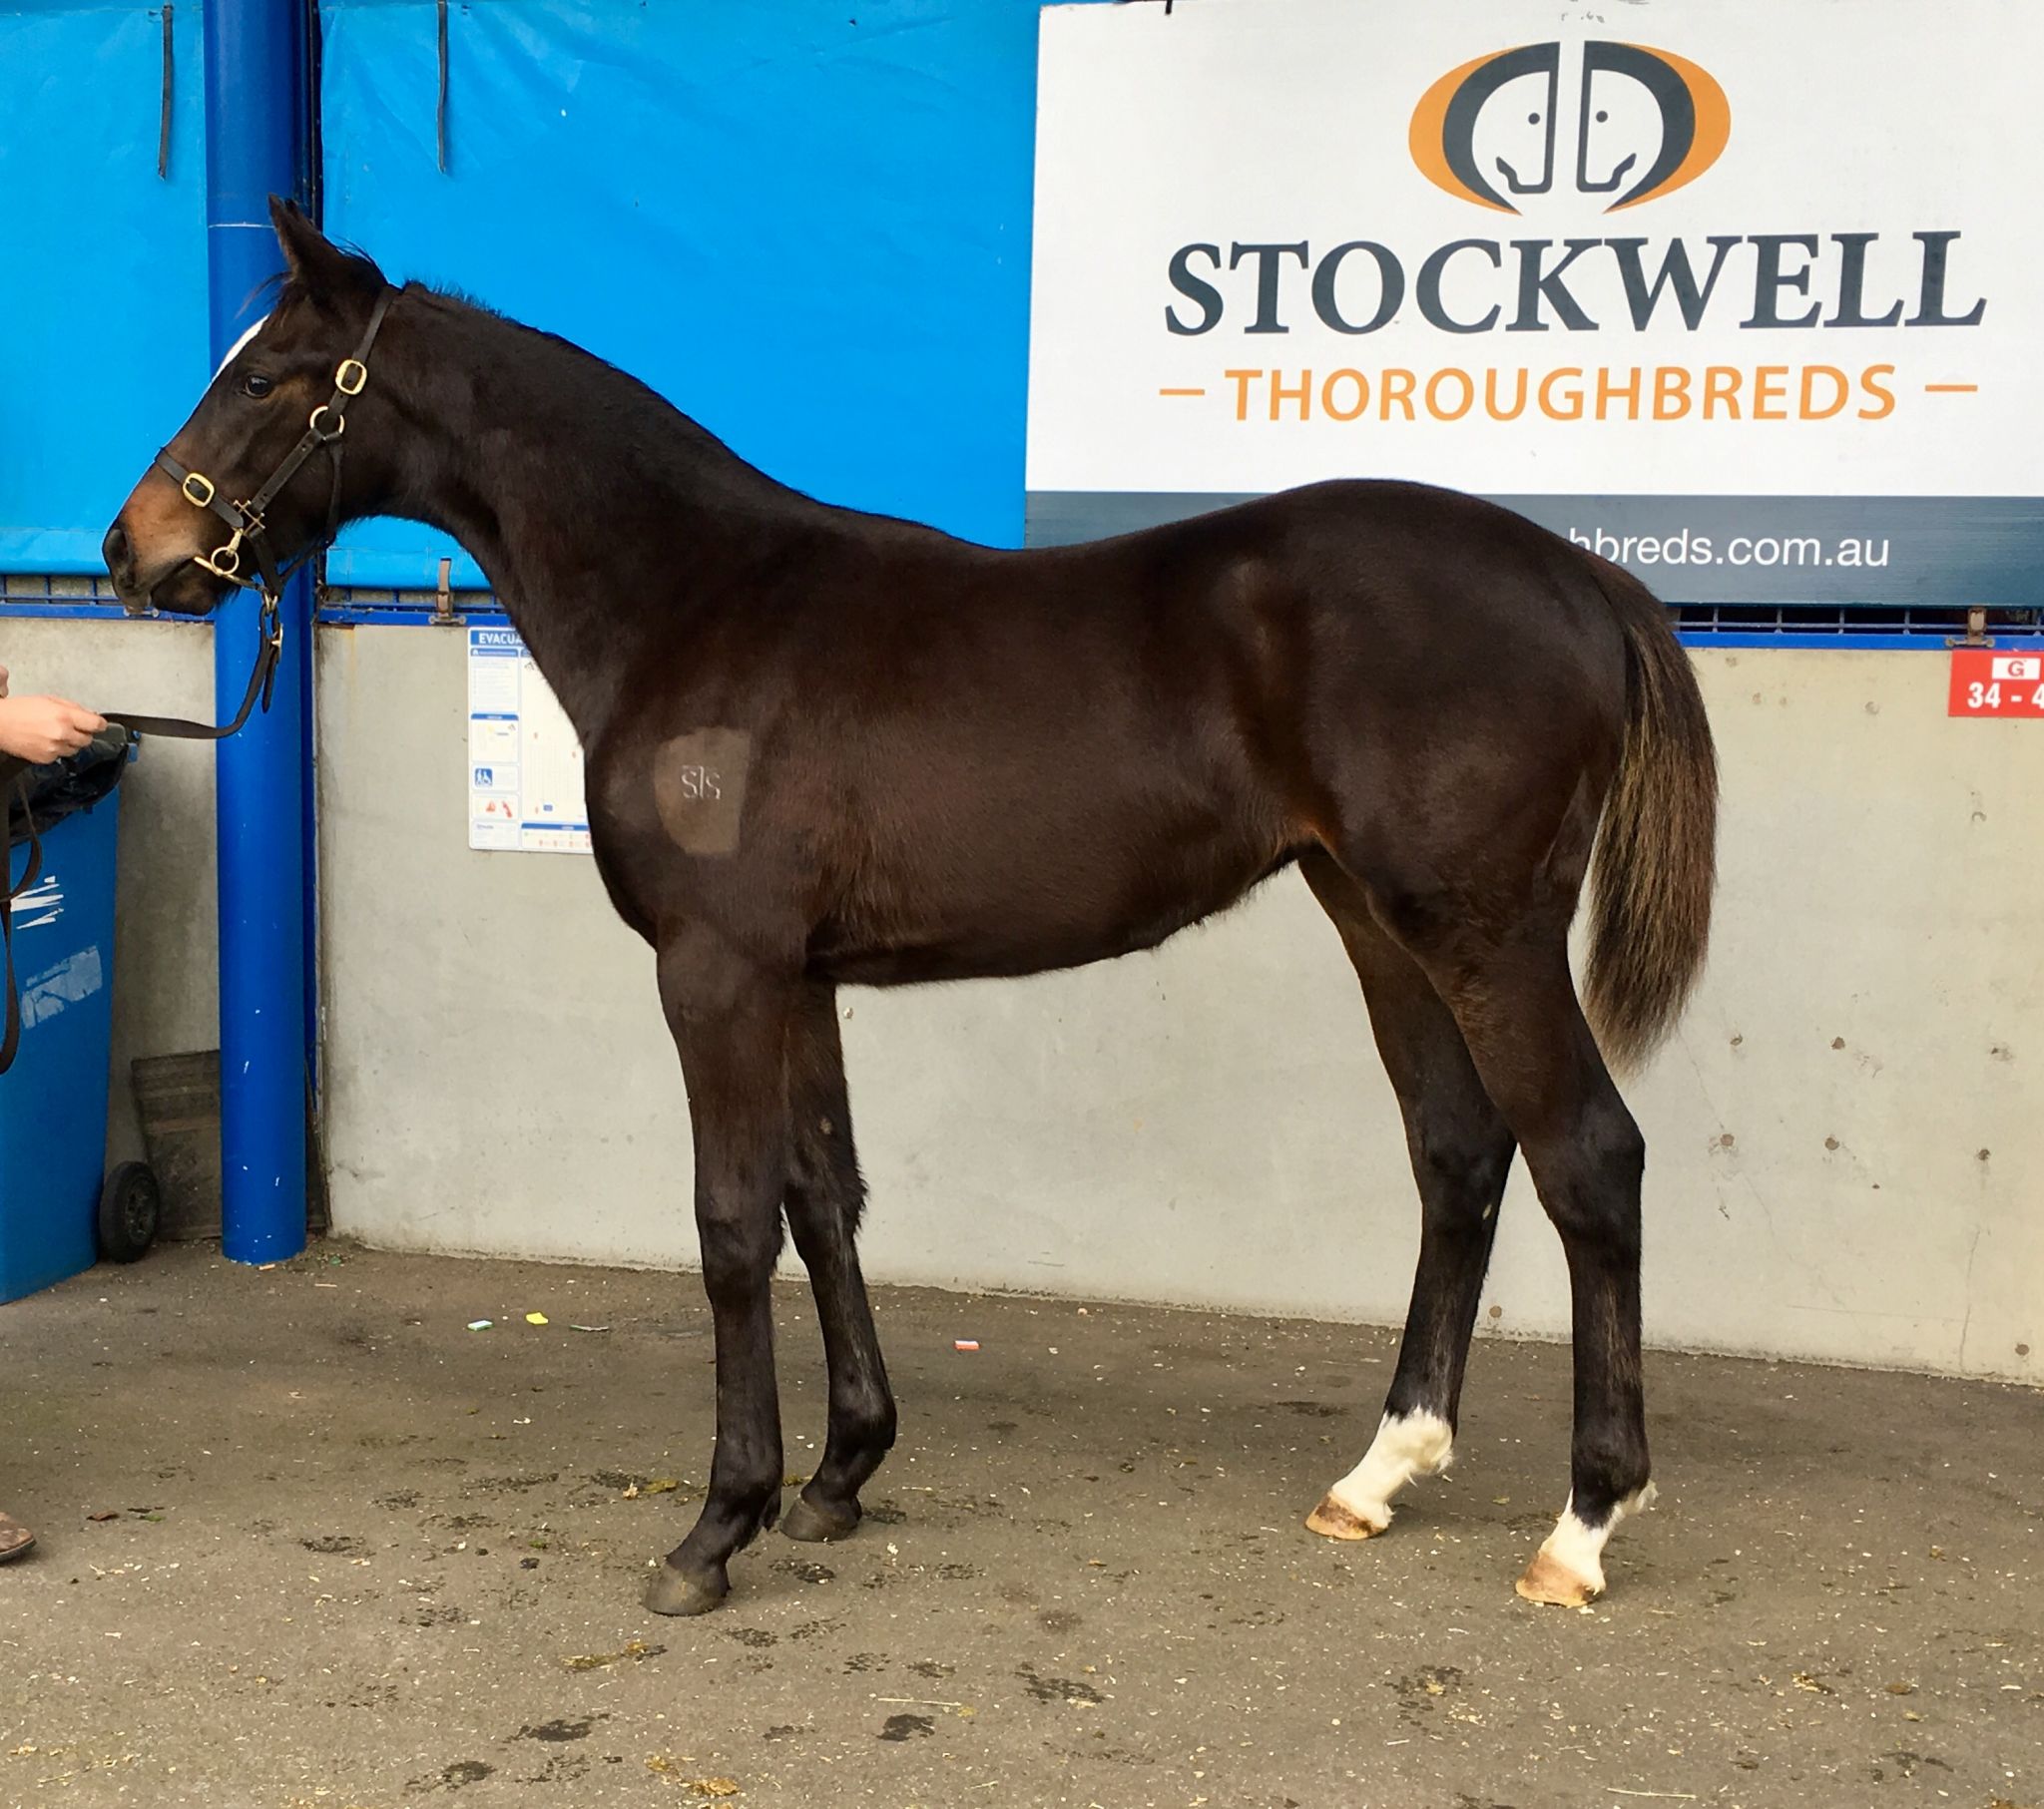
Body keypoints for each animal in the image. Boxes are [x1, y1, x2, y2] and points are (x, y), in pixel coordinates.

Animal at [105, 200, 1716, 1618]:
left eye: (261, 373)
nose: (134, 552)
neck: (698, 605)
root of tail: (1581, 578)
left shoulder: (714, 971)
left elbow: (731, 1222)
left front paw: (716, 1525)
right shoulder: (799, 975)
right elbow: (826, 1195)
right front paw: (839, 1476)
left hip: (1482, 935)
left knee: (1589, 1159)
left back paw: (1581, 1526)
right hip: (1378, 923)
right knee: (1458, 1154)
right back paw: (1381, 1472)